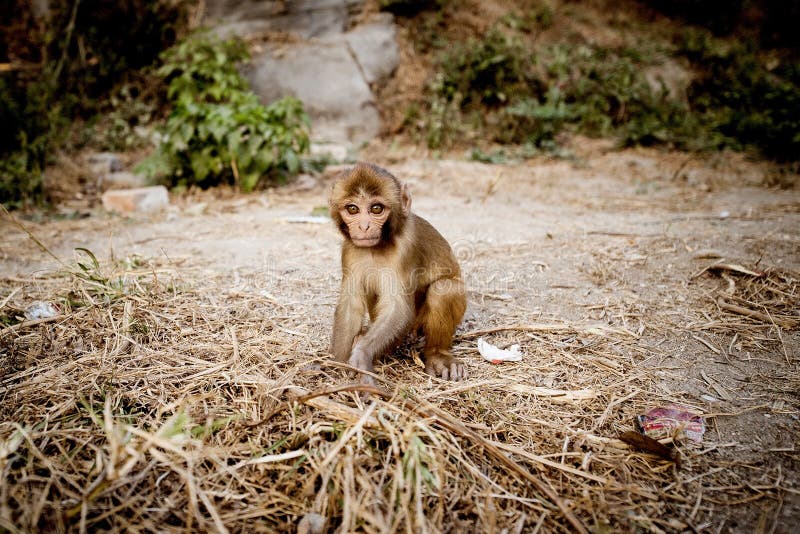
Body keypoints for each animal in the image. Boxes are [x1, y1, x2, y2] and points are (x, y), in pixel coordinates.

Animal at [329, 163, 467, 384]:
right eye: (352, 209)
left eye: (376, 209)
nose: (364, 226)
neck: (380, 244)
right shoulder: (349, 250)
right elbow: (351, 305)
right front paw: (342, 365)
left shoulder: (407, 246)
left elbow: (398, 307)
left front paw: (362, 354)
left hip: (416, 325)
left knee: (445, 288)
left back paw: (437, 355)